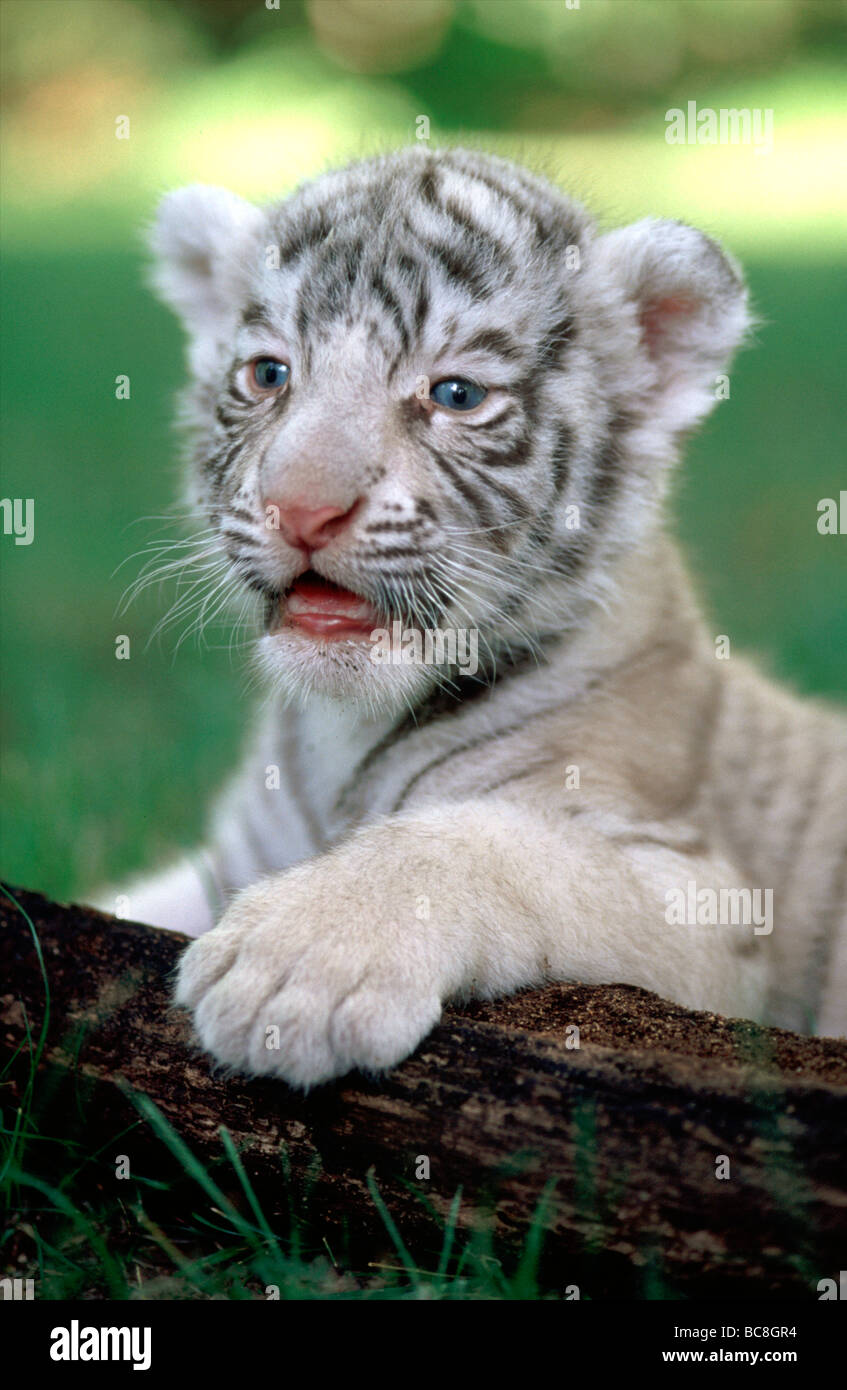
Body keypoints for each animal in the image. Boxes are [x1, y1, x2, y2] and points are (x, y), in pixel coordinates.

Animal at [101, 146, 847, 1087]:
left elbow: (482, 843)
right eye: (268, 374)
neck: (341, 737)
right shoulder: (226, 858)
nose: (301, 509)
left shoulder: (711, 902)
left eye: (455, 394)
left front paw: (294, 965)